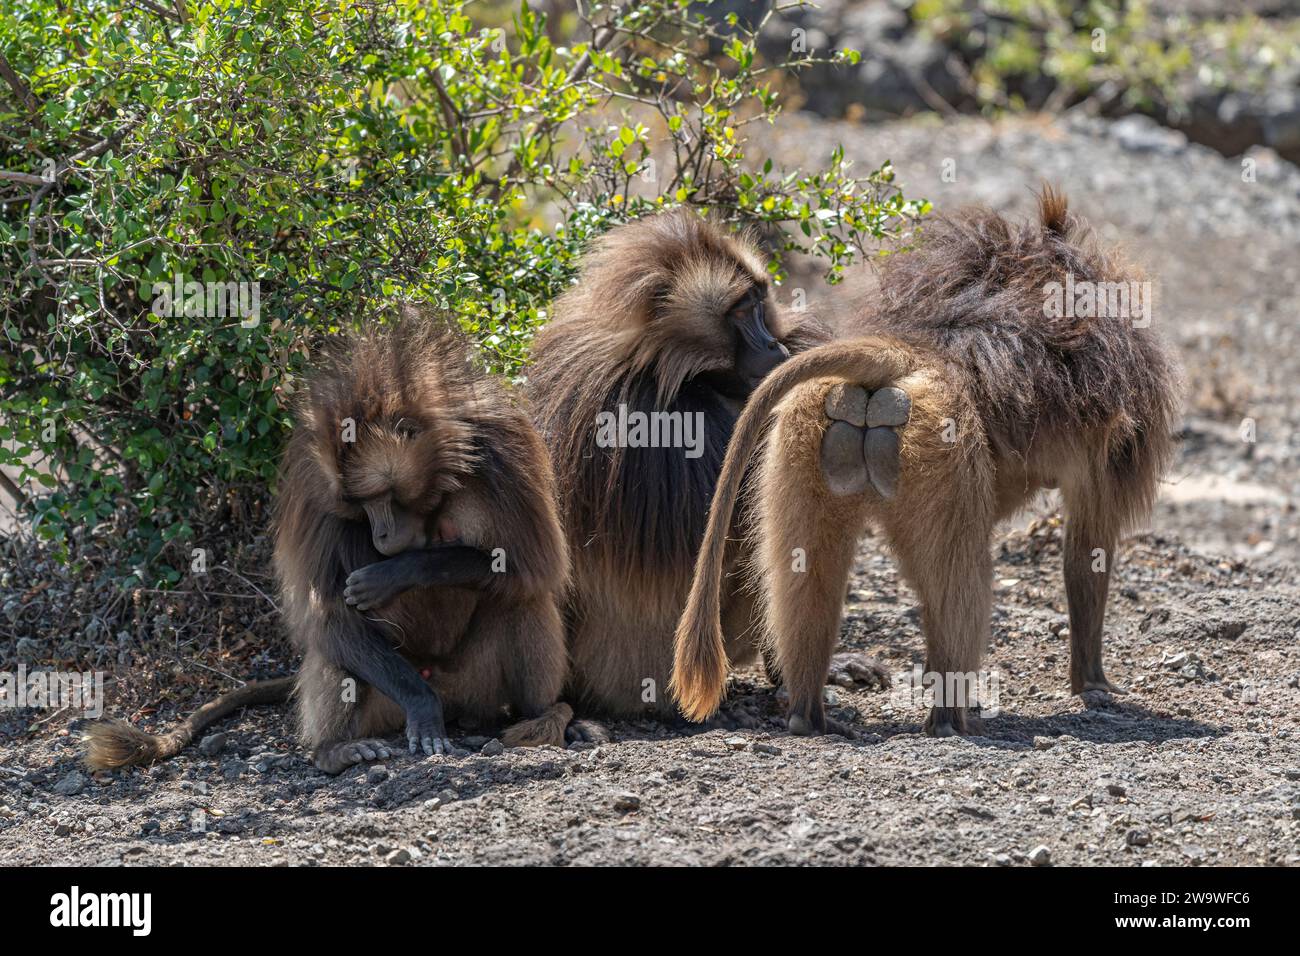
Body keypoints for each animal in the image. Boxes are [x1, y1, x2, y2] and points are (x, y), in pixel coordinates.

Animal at [85, 315, 572, 774]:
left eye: (384, 497)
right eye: (362, 504)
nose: (380, 535)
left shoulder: (505, 457)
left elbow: (534, 565)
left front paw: (392, 575)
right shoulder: (315, 491)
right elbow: (327, 614)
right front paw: (421, 706)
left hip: (476, 687)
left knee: (522, 599)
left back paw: (545, 715)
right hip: (387, 701)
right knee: (335, 640)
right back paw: (336, 750)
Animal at [528, 208, 883, 729]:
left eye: (758, 302)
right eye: (738, 311)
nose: (775, 349)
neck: (667, 366)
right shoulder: (641, 418)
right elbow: (718, 531)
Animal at [671, 186, 1182, 738]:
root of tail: (900, 355)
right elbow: (1088, 551)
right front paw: (1093, 684)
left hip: (805, 428)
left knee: (809, 572)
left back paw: (809, 716)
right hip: (942, 446)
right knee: (960, 576)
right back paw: (950, 719)